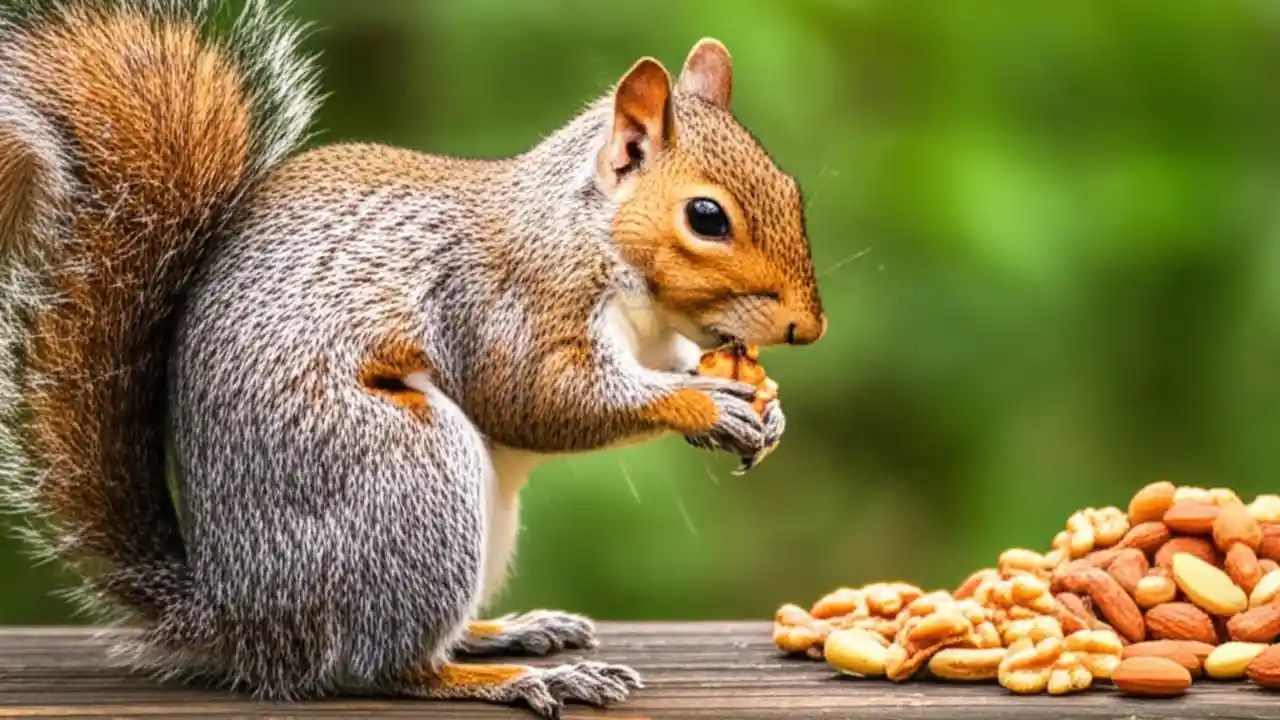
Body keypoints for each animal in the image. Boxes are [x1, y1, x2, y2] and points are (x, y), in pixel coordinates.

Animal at [0, 0, 825, 716]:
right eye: (706, 216)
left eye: (792, 187)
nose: (807, 328)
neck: (593, 240)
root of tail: (243, 623)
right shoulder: (505, 303)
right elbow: (539, 398)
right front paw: (708, 405)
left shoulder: (656, 340)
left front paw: (770, 410)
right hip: (409, 476)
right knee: (385, 666)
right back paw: (520, 679)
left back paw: (511, 633)